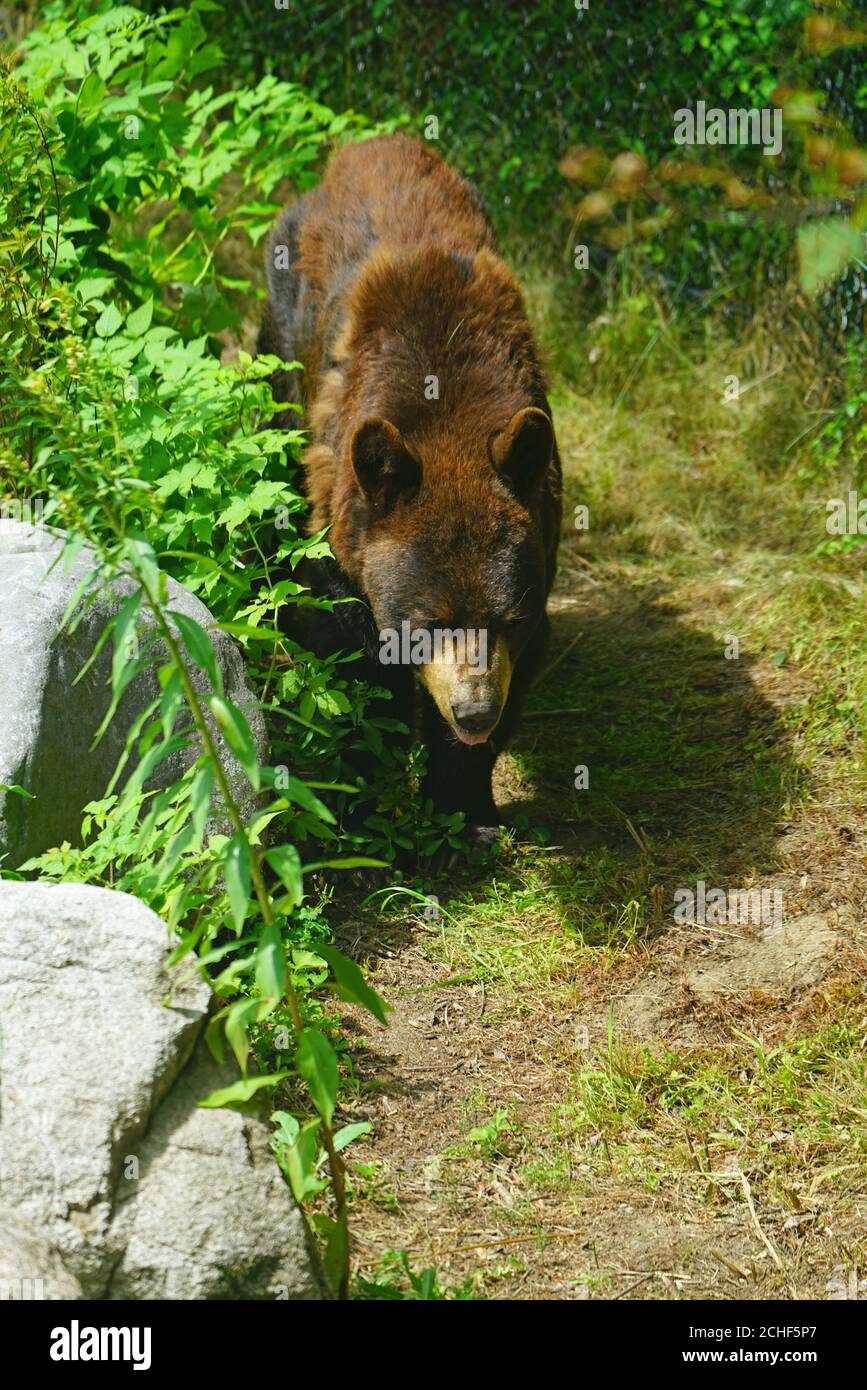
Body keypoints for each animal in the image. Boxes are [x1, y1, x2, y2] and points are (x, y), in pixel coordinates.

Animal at [258, 134, 562, 837]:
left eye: (506, 617)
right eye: (429, 623)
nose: (474, 712)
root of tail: (370, 144)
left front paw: (464, 811)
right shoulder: (342, 527)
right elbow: (352, 656)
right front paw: (366, 795)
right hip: (282, 326)